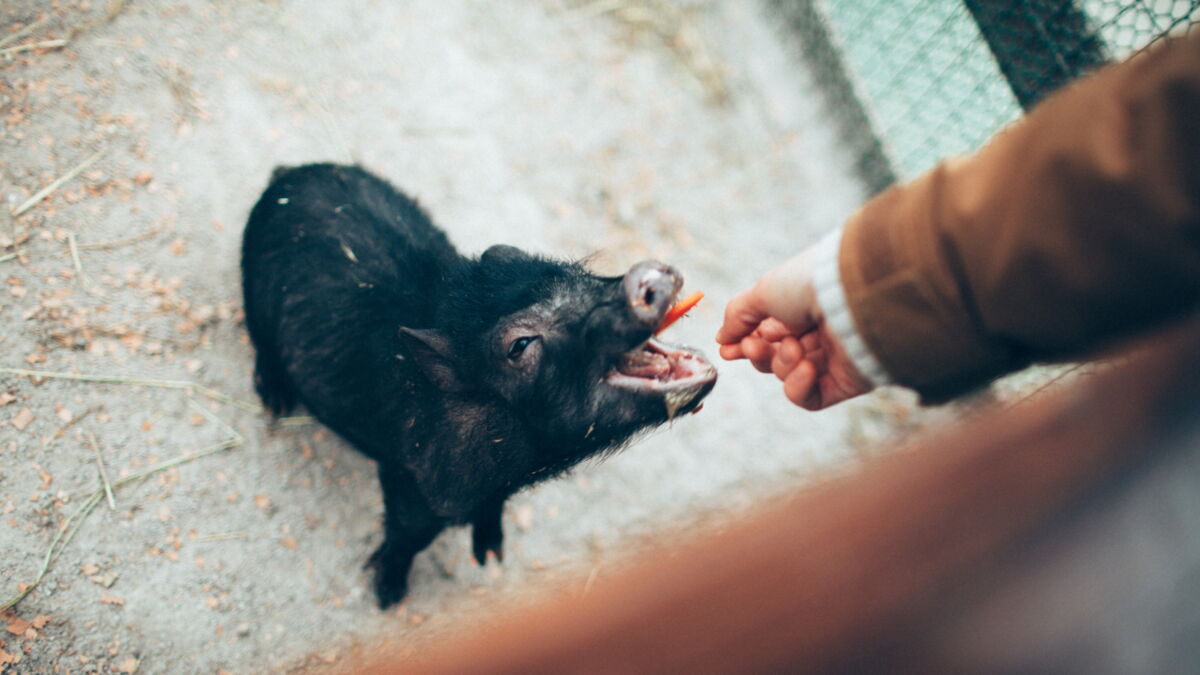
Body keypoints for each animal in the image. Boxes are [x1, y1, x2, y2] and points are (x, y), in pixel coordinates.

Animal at [241, 163, 716, 607]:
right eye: (520, 344)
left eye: (577, 274)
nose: (647, 275)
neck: (521, 462)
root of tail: (287, 174)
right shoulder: (407, 478)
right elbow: (408, 536)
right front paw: (387, 597)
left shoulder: (496, 492)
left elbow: (491, 512)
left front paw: (491, 557)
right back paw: (275, 402)